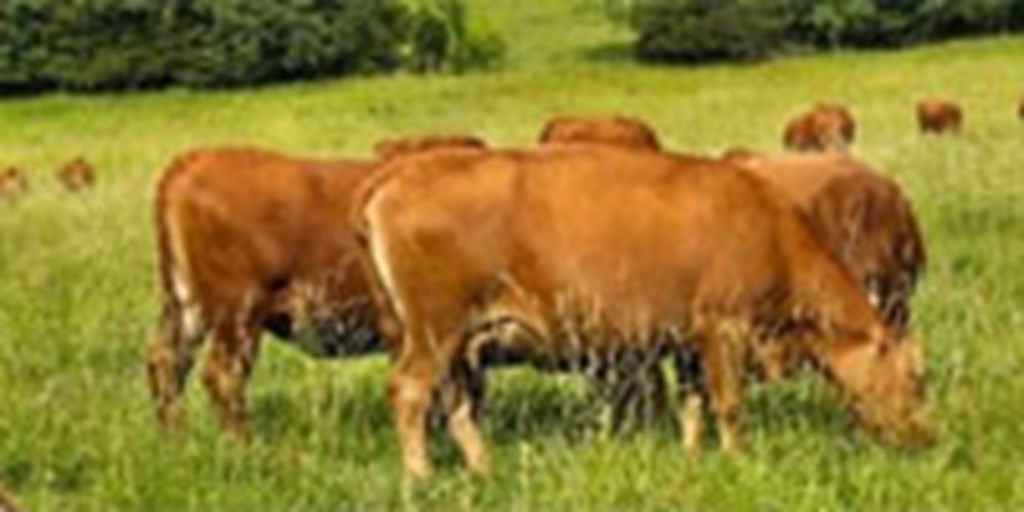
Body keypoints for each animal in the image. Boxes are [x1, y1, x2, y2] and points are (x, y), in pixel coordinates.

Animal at [147, 137, 486, 439]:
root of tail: (193, 160)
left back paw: (176, 439)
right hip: (238, 316)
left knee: (166, 363)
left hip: (187, 308)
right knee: (222, 376)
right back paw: (246, 447)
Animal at [354, 145, 932, 477]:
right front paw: (736, 459)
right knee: (409, 393)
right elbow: (729, 405)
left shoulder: (687, 341)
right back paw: (421, 476)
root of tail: (397, 176)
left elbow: (694, 405)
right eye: (918, 379)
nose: (926, 439)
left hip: (459, 342)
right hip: (434, 331)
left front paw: (693, 457)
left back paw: (483, 469)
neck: (768, 227)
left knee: (456, 407)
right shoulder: (724, 327)